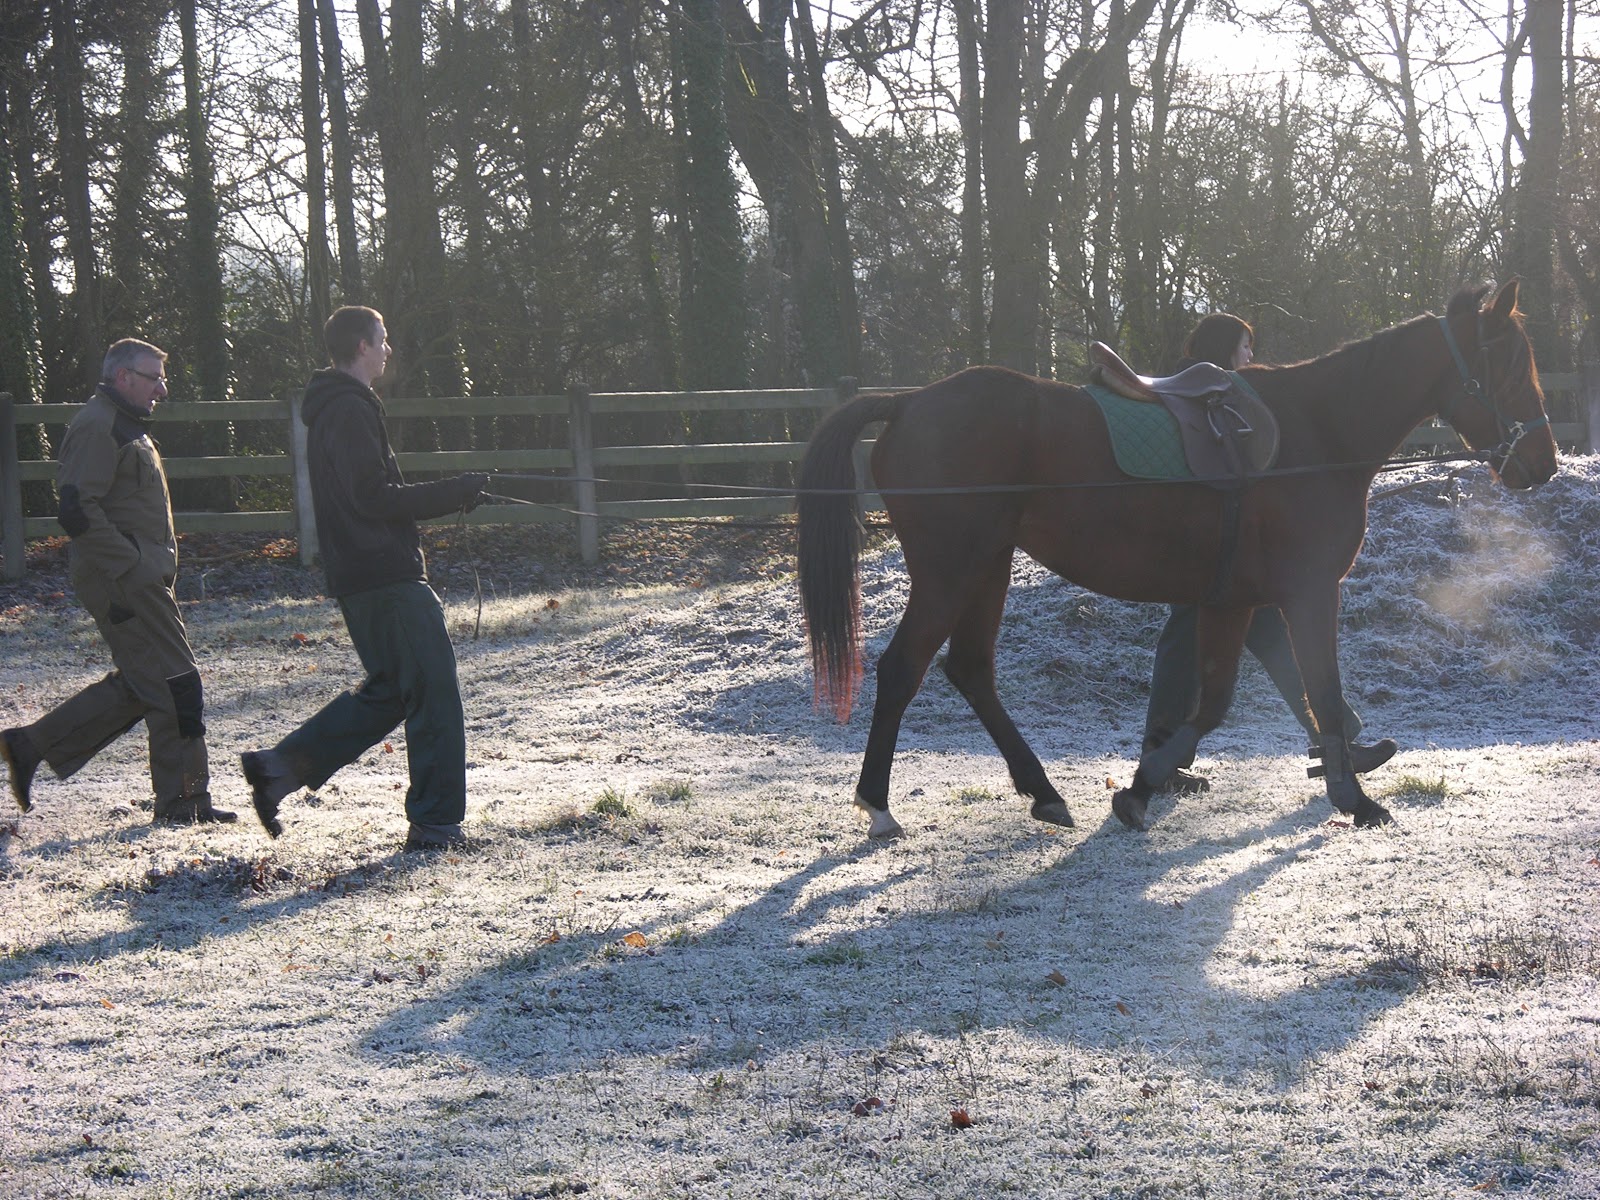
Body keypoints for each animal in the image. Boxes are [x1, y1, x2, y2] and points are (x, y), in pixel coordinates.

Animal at [796, 281, 1557, 838]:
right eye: (1513, 365)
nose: (1542, 462)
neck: (1319, 431)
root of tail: (909, 403)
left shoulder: (1232, 600)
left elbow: (1216, 702)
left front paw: (1145, 782)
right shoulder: (1309, 592)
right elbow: (1320, 691)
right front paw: (1354, 797)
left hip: (987, 567)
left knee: (970, 671)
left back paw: (1042, 791)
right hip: (951, 569)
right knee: (903, 669)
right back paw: (878, 805)